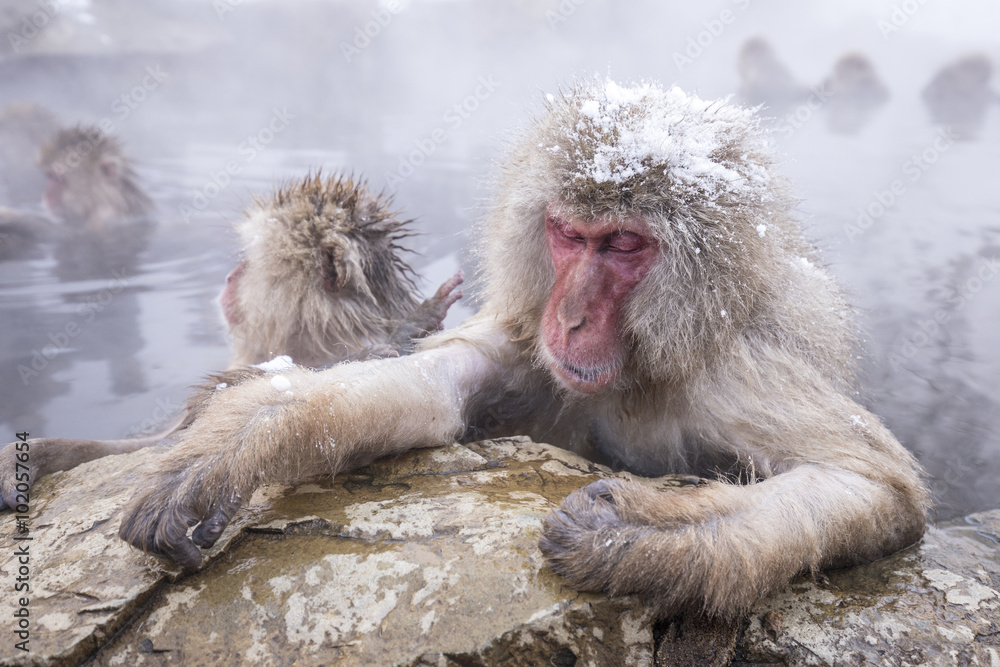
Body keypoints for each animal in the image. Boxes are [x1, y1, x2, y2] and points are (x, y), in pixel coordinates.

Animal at [106, 78, 927, 619]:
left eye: (623, 244)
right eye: (568, 234)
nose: (571, 317)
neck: (631, 379)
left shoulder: (732, 368)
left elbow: (871, 481)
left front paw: (645, 536)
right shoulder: (527, 343)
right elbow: (432, 389)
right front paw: (232, 444)